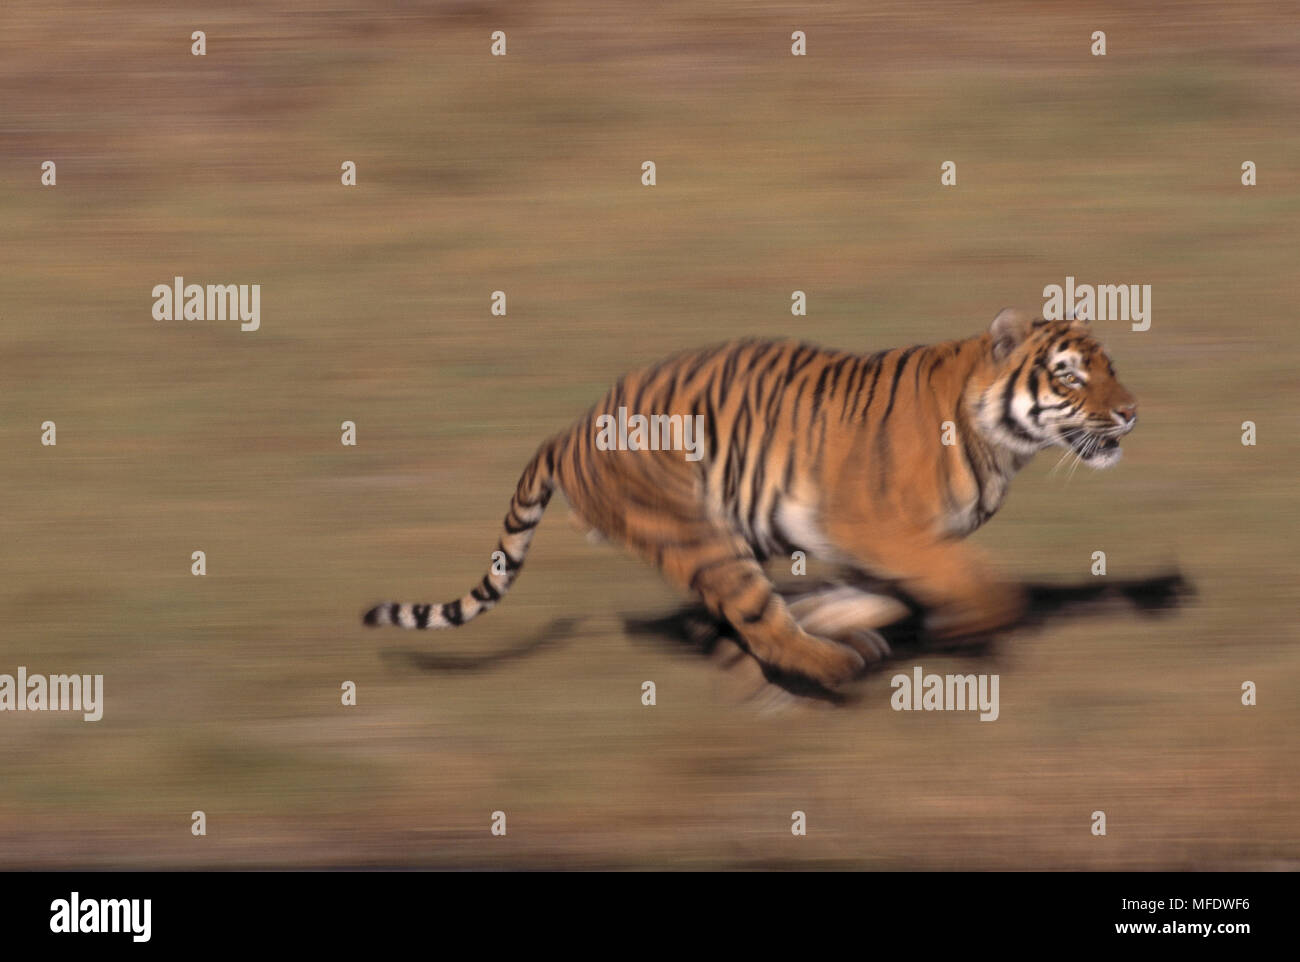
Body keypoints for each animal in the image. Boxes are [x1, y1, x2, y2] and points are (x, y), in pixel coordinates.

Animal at [364, 308, 1138, 688]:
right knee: (756, 619)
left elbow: (884, 594)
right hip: (695, 530)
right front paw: (969, 626)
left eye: (1110, 367)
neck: (1005, 445)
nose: (1132, 412)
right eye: (1070, 376)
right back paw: (832, 669)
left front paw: (839, 614)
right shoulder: (874, 525)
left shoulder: (871, 542)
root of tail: (569, 428)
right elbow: (984, 585)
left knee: (741, 617)